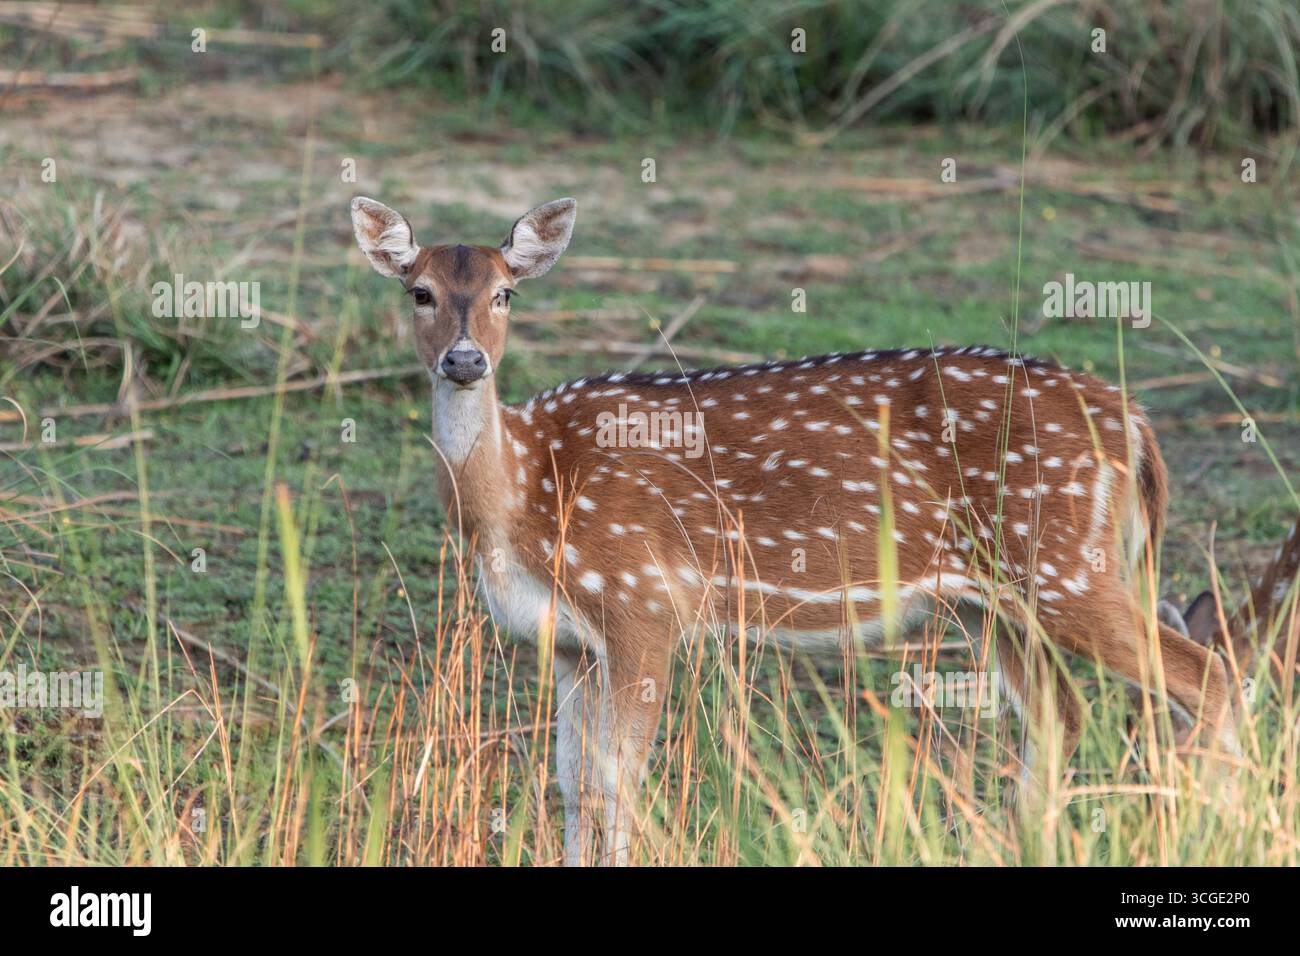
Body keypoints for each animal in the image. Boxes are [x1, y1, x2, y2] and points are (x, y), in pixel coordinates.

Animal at [351, 195, 1245, 865]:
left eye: (506, 292)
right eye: (418, 291)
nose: (465, 360)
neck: (525, 499)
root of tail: (1136, 423)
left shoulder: (645, 604)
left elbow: (619, 781)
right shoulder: (569, 640)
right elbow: (575, 783)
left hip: (1065, 567)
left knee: (1210, 677)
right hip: (997, 601)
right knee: (1060, 721)